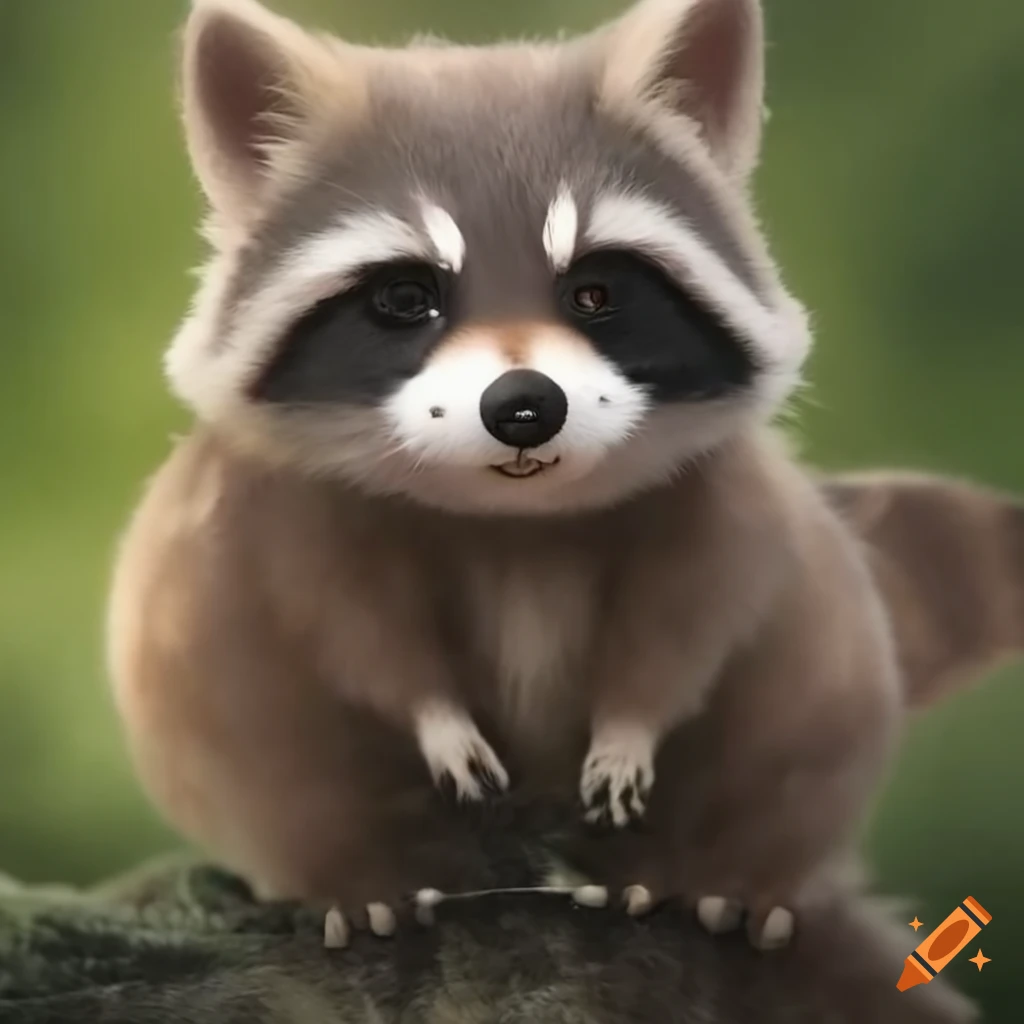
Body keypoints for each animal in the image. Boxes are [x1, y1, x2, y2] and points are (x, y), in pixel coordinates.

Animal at [108, 0, 1023, 952]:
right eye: (407, 298)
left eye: (595, 293)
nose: (524, 406)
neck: (515, 515)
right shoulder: (301, 510)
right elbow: (357, 631)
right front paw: (435, 716)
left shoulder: (717, 497)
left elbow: (688, 617)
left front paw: (631, 724)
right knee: (273, 751)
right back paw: (368, 879)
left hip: (817, 667)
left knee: (800, 709)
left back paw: (713, 877)